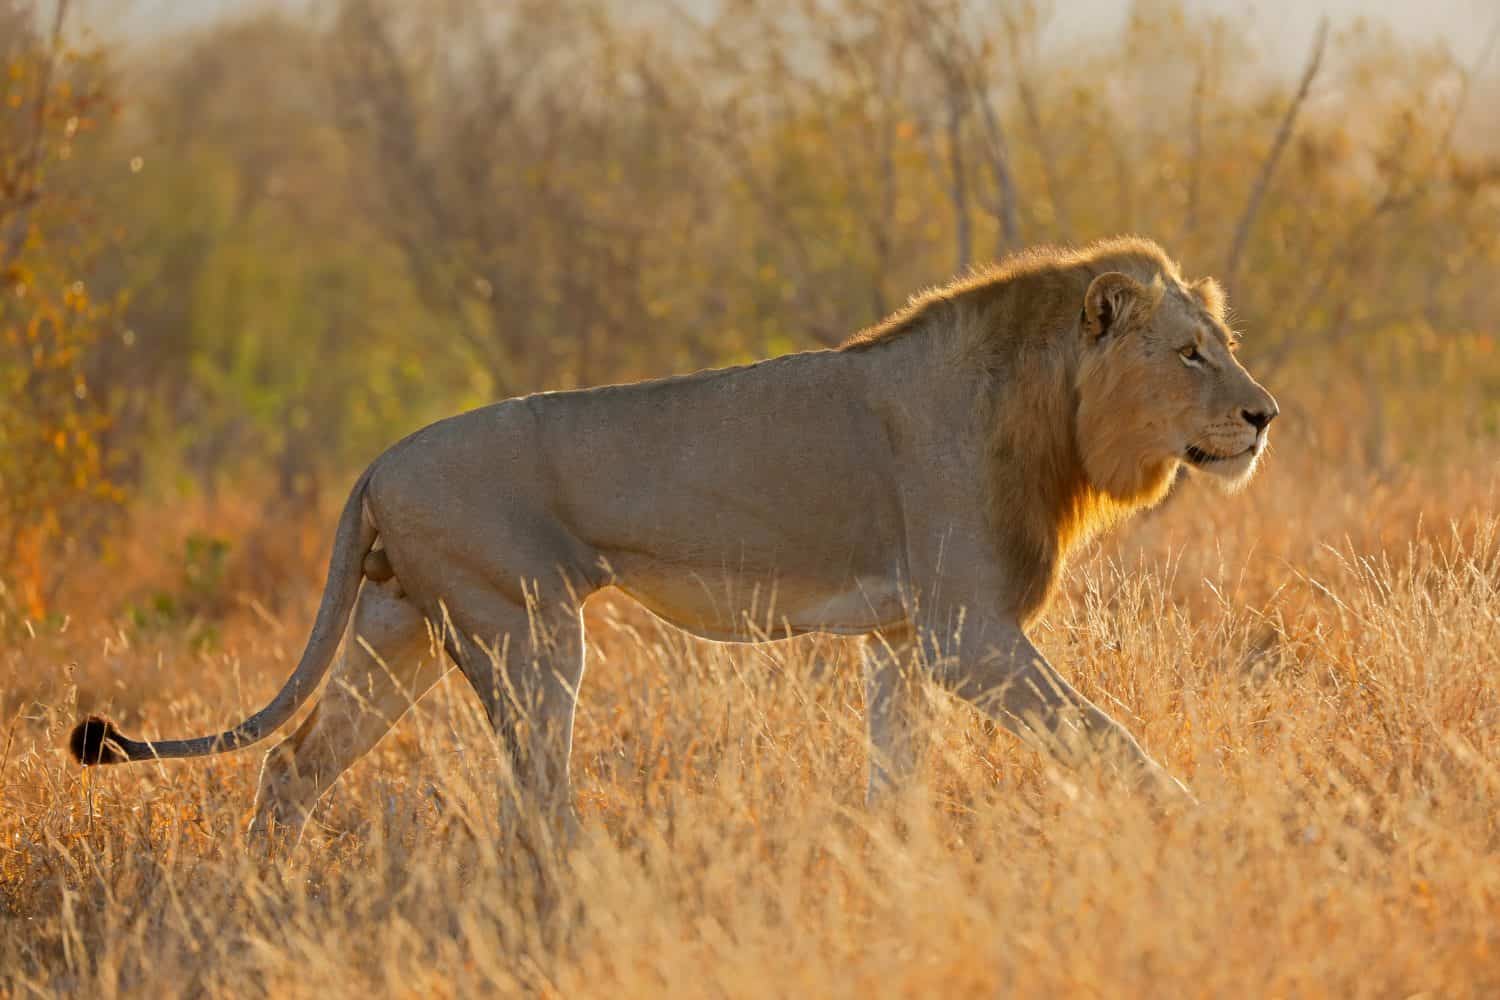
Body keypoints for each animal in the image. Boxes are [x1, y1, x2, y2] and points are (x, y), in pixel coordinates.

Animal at [70, 236, 1277, 844]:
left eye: (1223, 343)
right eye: (1190, 353)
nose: (1265, 415)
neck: (1049, 413)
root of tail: (373, 464)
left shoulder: (902, 638)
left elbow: (898, 774)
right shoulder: (965, 634)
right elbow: (1104, 736)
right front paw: (1194, 825)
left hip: (401, 628)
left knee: (293, 765)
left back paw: (257, 899)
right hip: (527, 631)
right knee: (533, 795)